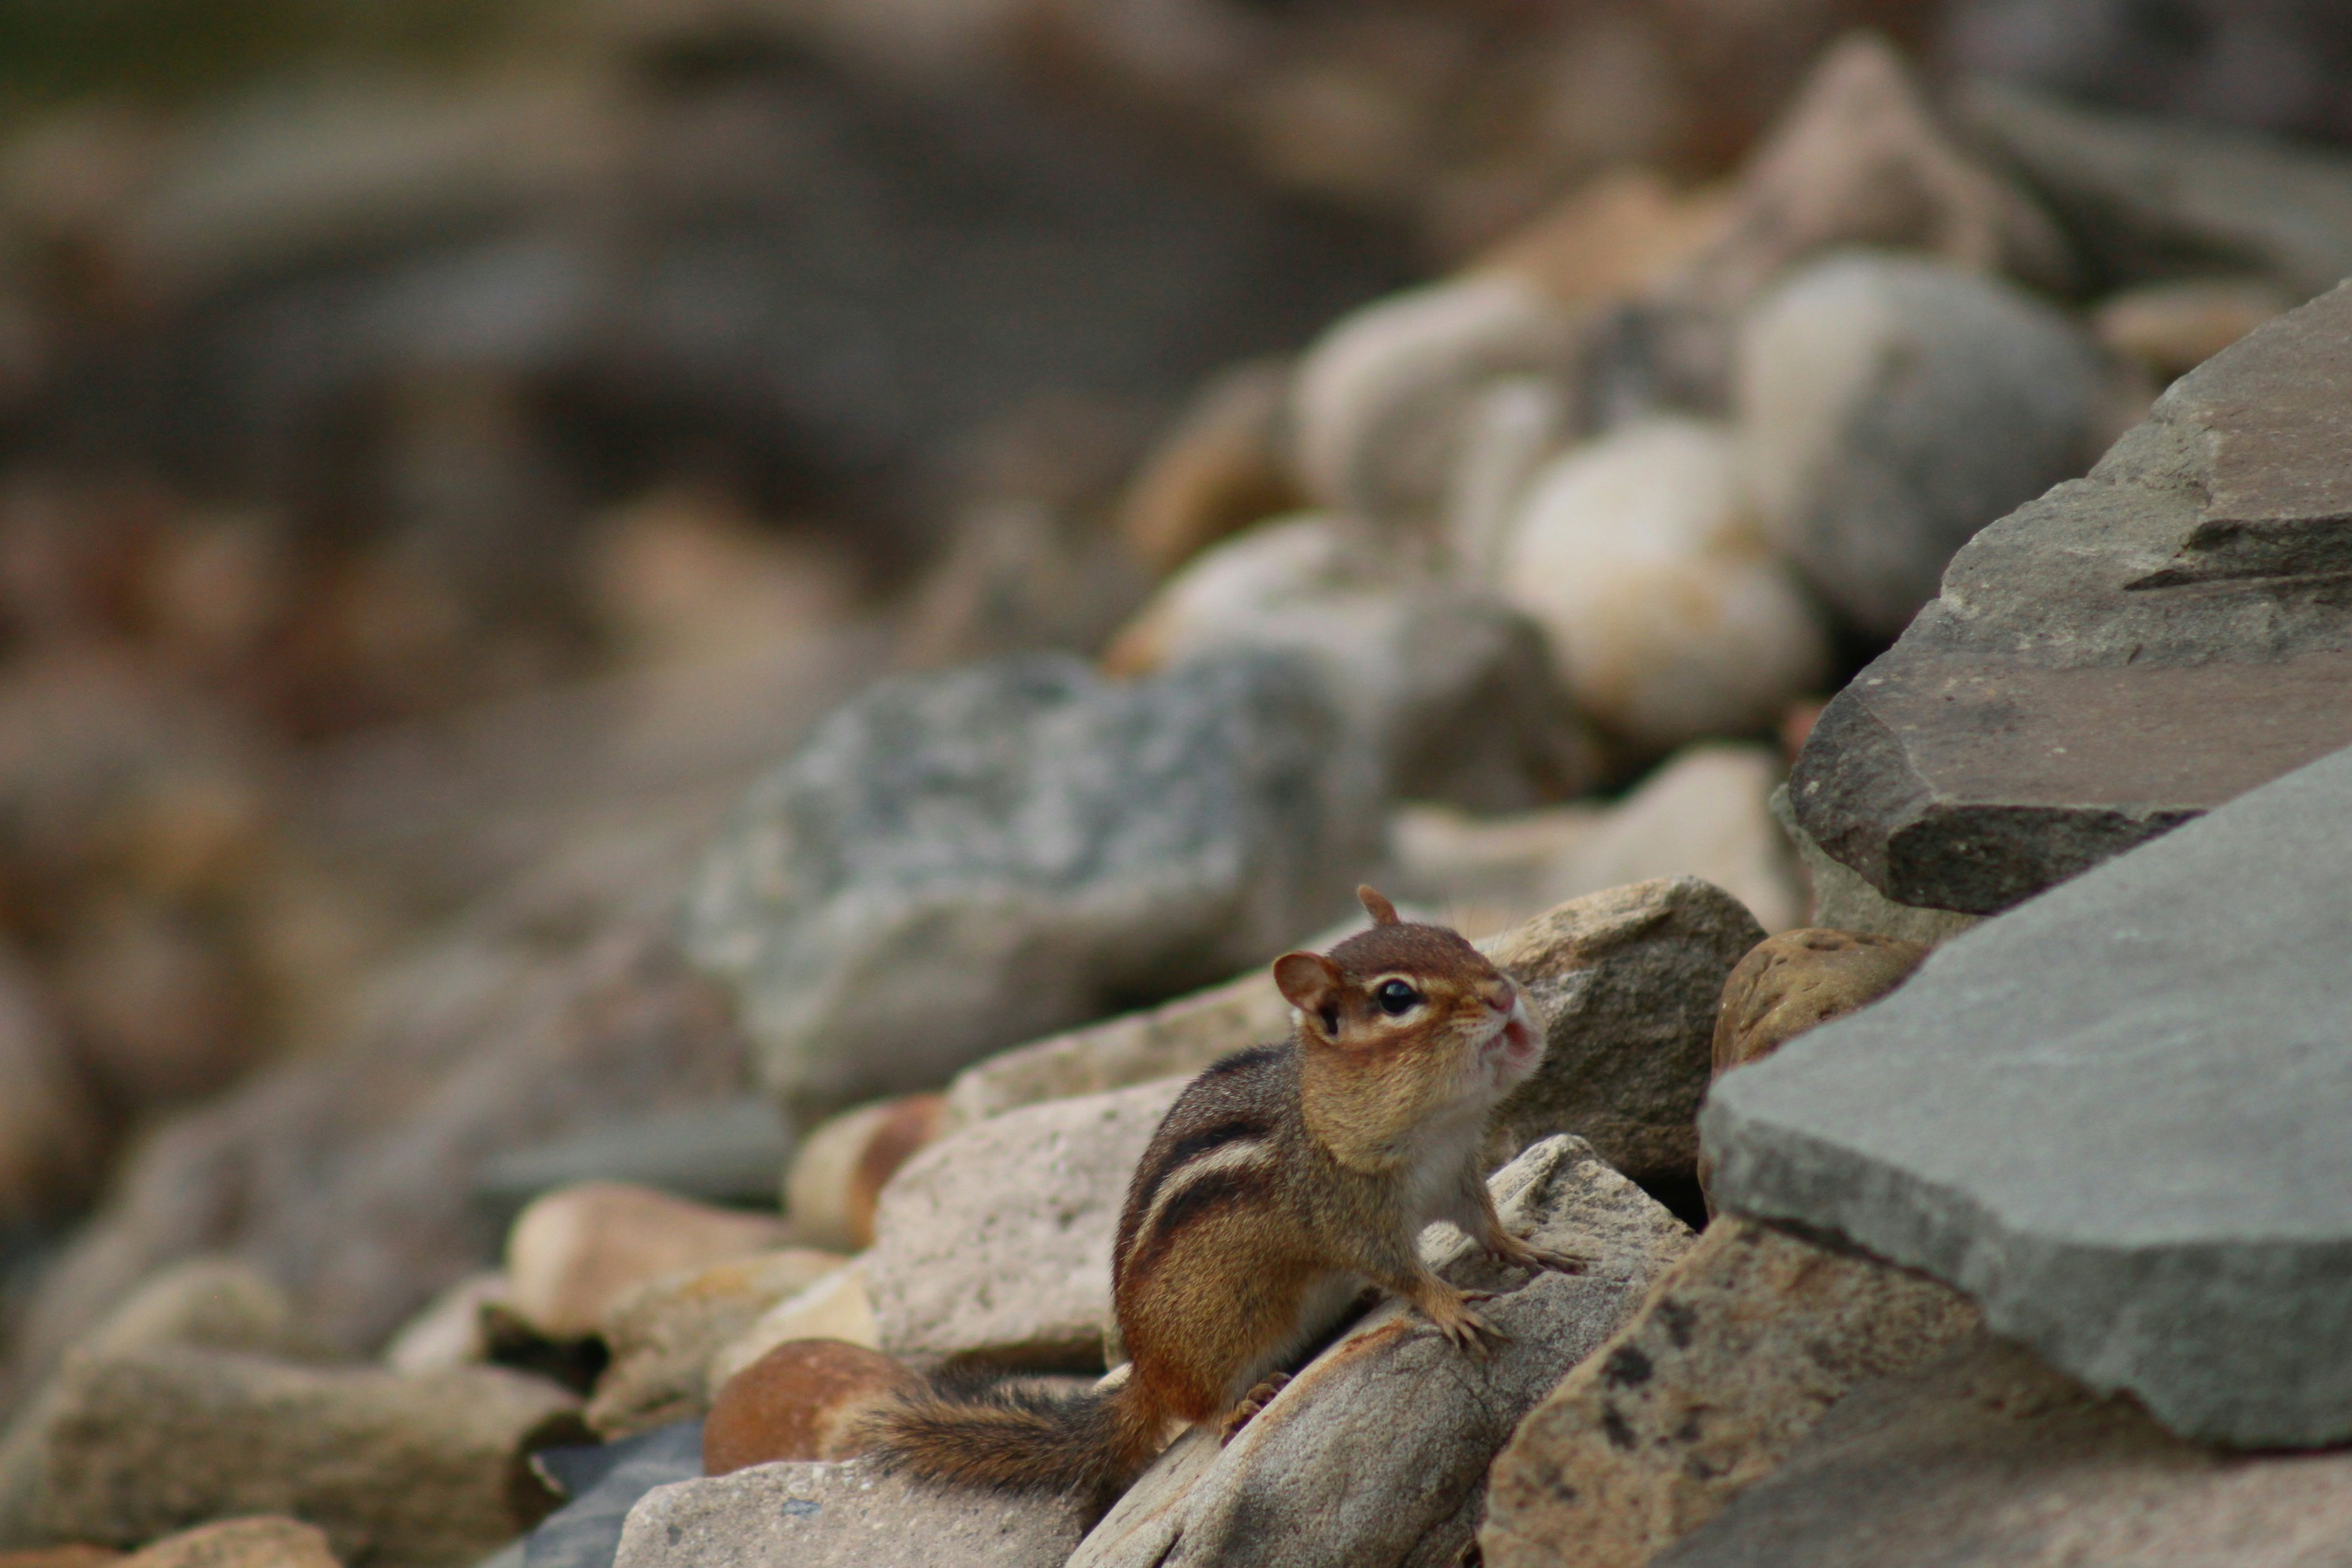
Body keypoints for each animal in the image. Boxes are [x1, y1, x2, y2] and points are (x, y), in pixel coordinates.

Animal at [861, 885, 1586, 1506]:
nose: (1500, 992)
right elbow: (1401, 1269)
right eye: (1397, 996)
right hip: (1227, 1330)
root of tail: (1146, 1371)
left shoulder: (1457, 1174)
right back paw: (1241, 1402)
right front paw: (1449, 1306)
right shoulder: (1345, 1213)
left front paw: (1533, 1250)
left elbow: (1485, 1223)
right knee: (1196, 1408)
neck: (1431, 1128)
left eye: (1455, 940)